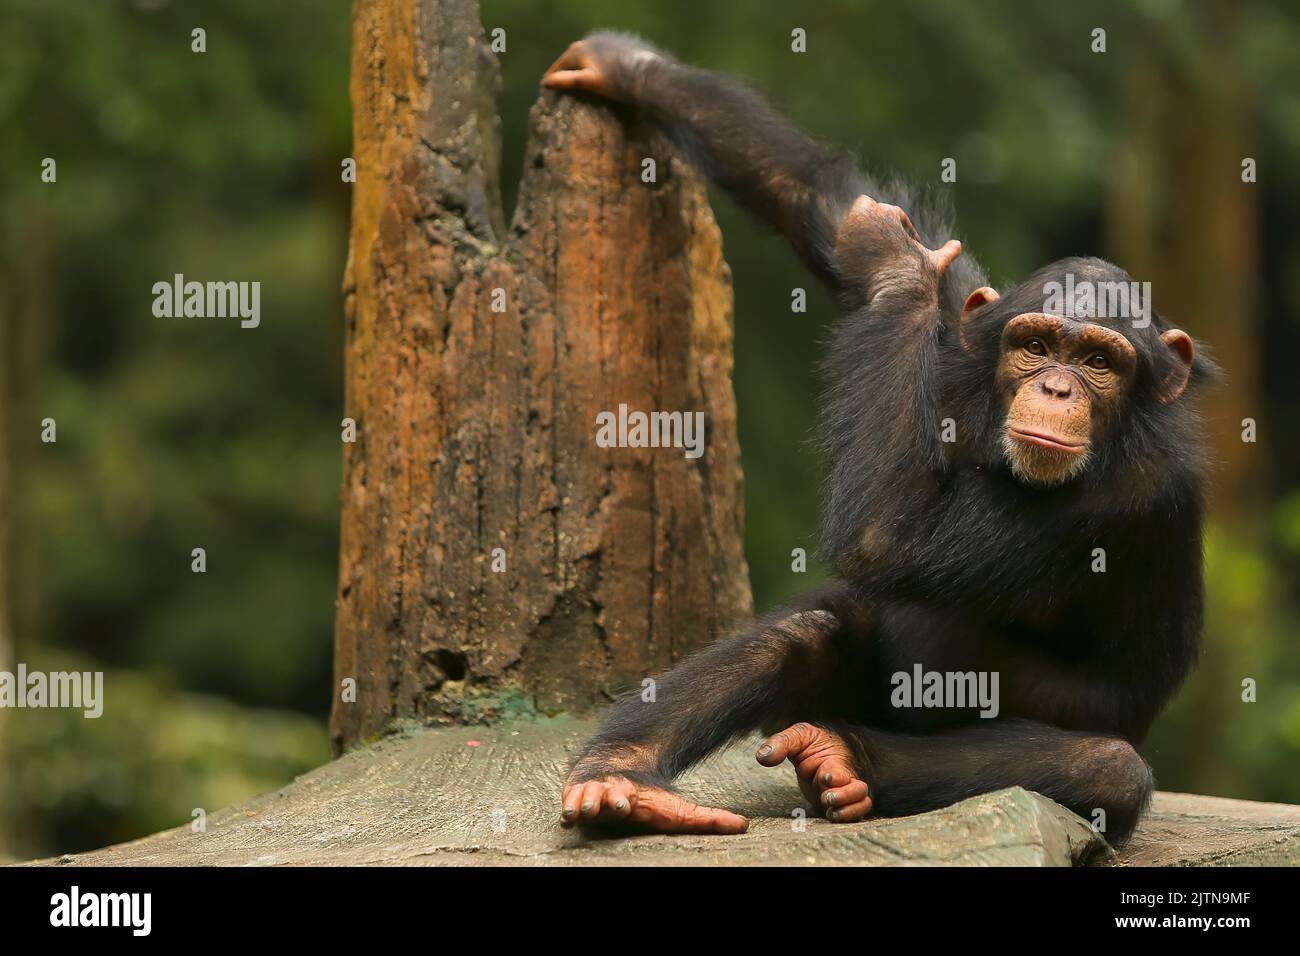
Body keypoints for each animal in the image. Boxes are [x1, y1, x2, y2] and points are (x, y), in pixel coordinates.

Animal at [542, 31, 1215, 843]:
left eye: (1098, 363)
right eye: (1036, 345)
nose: (1056, 388)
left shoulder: (1129, 497)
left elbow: (884, 539)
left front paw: (896, 262)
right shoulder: (958, 332)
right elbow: (820, 194)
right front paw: (627, 67)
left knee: (1106, 767)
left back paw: (848, 759)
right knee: (816, 625)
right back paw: (620, 778)